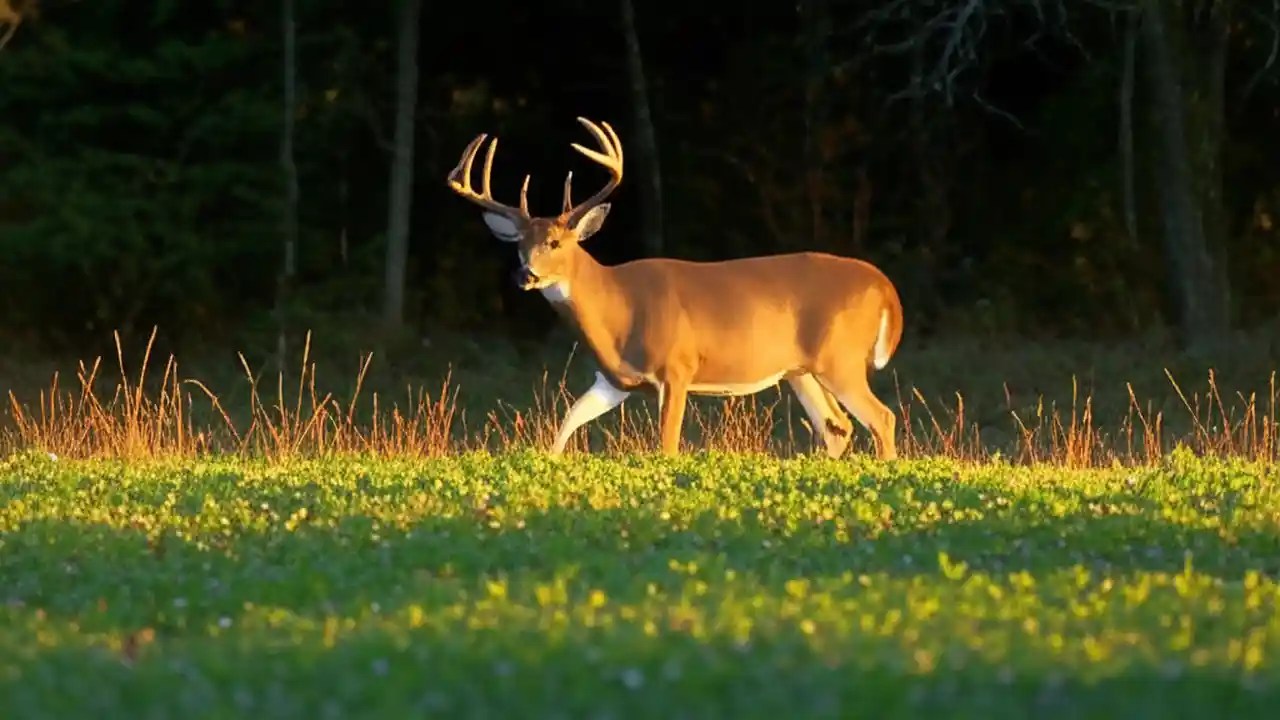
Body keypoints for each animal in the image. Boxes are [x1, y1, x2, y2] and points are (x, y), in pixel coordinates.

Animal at [445, 117, 904, 460]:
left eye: (556, 242)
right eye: (519, 245)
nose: (525, 275)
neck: (617, 306)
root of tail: (885, 287)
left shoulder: (677, 367)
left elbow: (666, 446)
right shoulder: (612, 380)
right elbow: (565, 426)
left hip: (840, 357)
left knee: (882, 418)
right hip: (800, 370)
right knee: (837, 427)